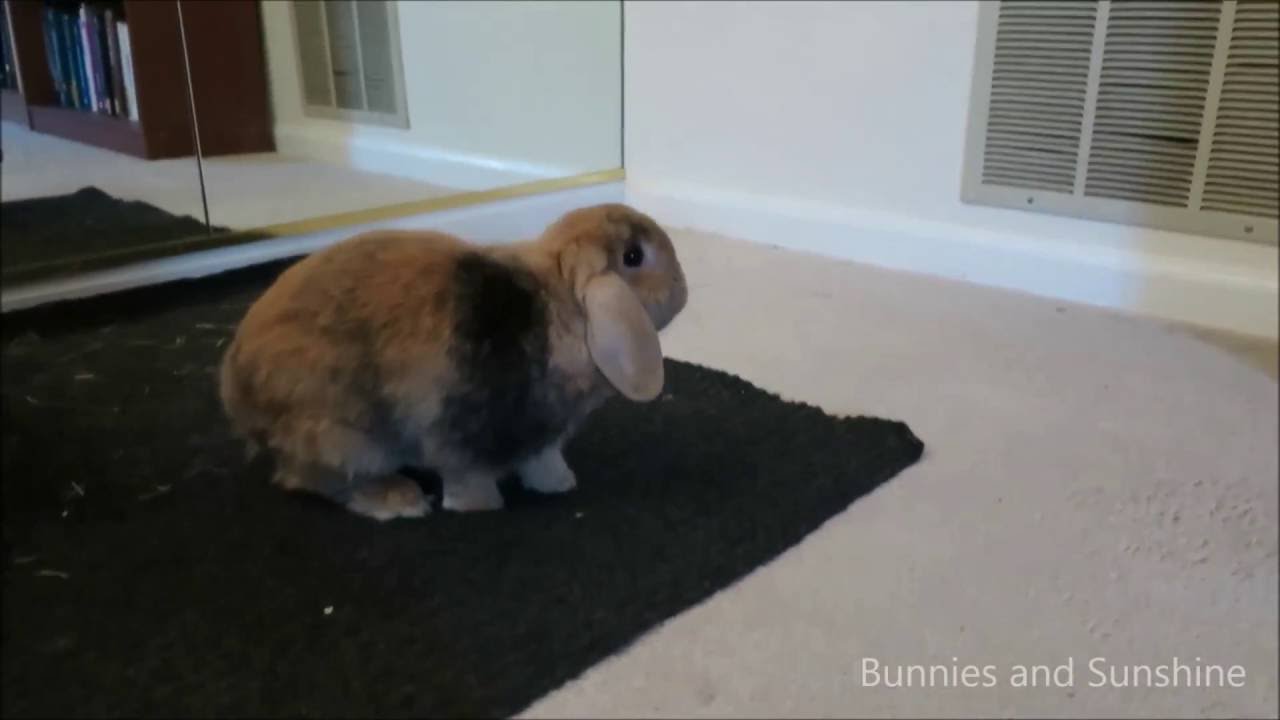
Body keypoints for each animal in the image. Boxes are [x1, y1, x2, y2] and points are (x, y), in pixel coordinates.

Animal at [218, 203, 688, 520]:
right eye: (633, 256)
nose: (682, 288)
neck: (561, 305)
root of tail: (235, 392)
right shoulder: (463, 433)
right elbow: (468, 477)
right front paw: (479, 507)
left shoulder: (539, 435)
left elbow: (542, 460)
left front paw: (559, 485)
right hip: (344, 438)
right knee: (315, 480)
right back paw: (399, 499)